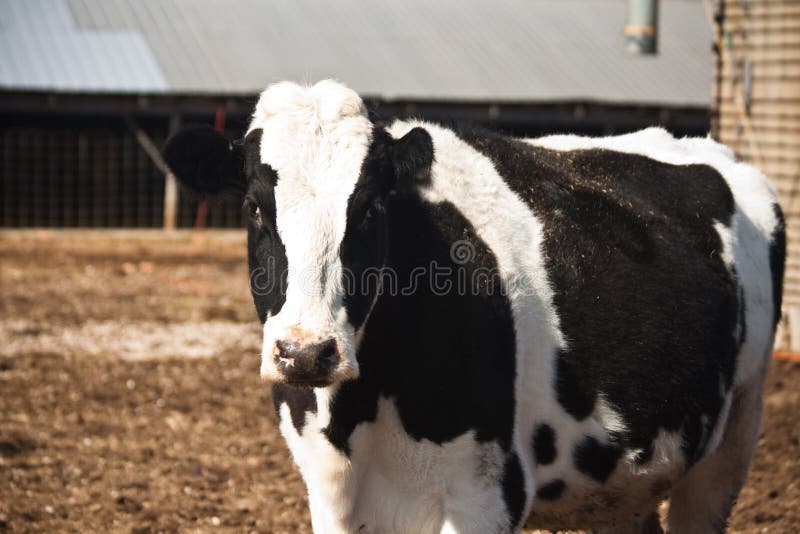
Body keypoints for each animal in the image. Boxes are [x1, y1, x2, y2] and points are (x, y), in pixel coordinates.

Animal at [163, 80, 785, 534]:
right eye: (253, 206)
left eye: (369, 207)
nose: (306, 353)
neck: (360, 416)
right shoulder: (329, 489)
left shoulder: (486, 494)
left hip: (734, 437)